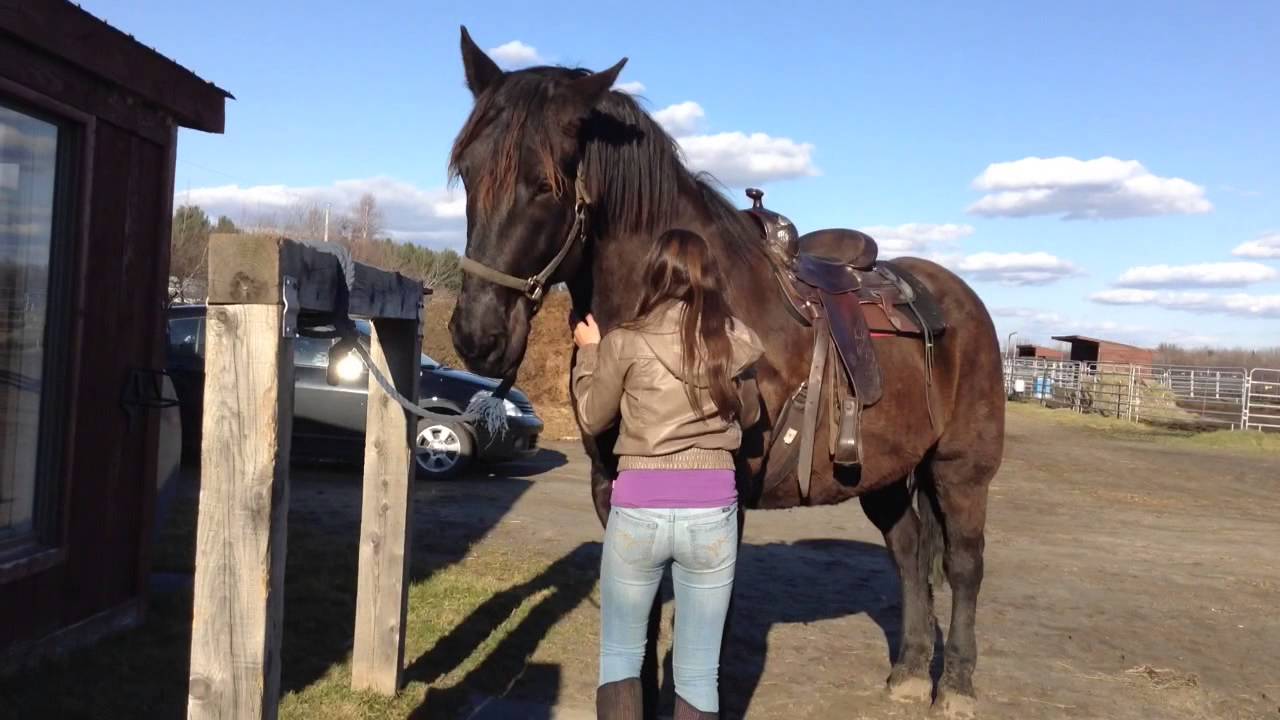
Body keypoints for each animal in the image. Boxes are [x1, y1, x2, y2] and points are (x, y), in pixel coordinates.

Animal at [446, 27, 1005, 719]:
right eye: (468, 174)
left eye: (546, 185)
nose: (478, 334)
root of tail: (959, 300)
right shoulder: (613, 486)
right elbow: (644, 621)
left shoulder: (724, 498)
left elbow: (704, 630)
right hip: (885, 473)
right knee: (907, 553)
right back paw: (906, 672)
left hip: (960, 471)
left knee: (963, 566)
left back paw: (955, 685)